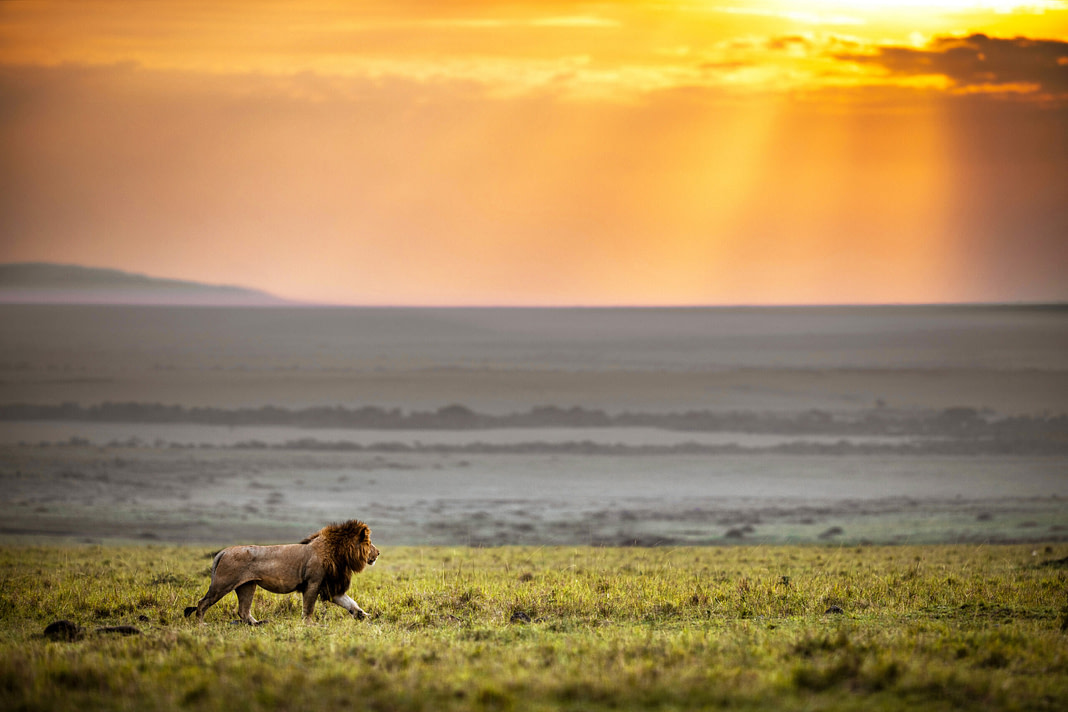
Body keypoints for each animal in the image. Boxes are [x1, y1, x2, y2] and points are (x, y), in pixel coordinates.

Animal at [183, 519, 379, 624]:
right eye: (369, 544)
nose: (378, 553)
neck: (339, 554)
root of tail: (223, 551)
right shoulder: (313, 583)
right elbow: (309, 608)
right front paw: (309, 624)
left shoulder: (331, 586)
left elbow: (352, 604)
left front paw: (367, 616)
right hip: (223, 584)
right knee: (202, 603)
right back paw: (202, 625)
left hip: (247, 586)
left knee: (243, 611)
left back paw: (258, 624)